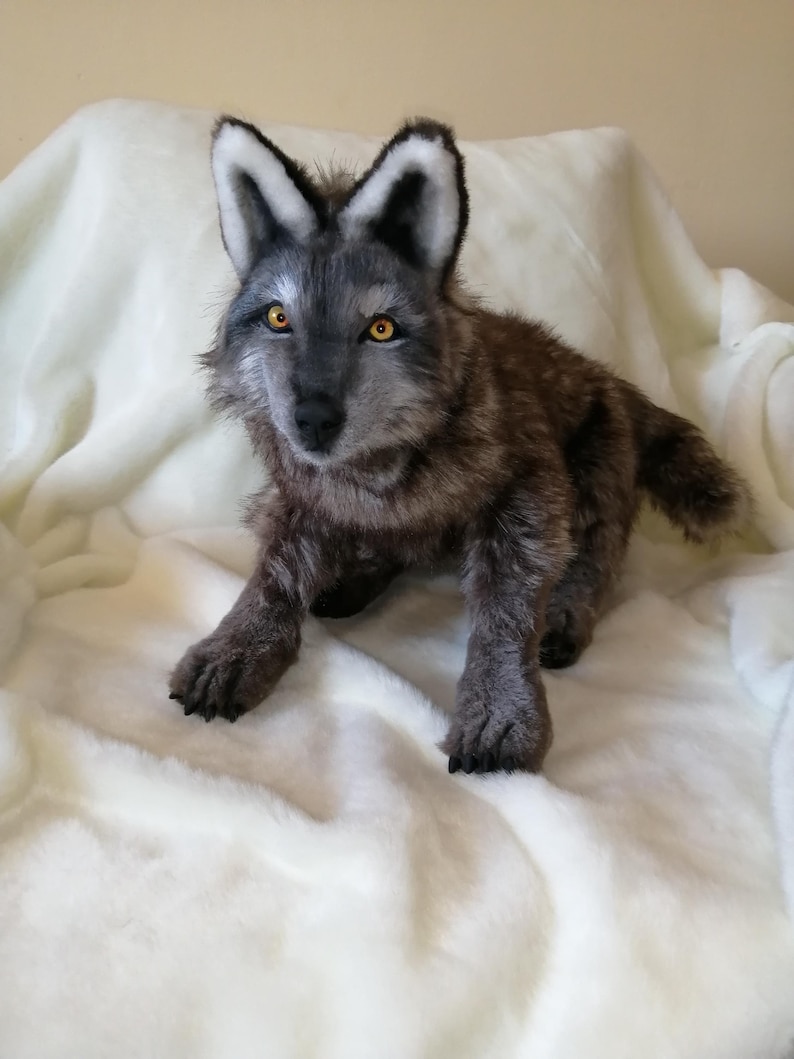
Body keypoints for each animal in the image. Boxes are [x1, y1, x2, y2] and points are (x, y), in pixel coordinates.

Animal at [169, 116, 751, 775]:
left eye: (380, 328)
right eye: (277, 318)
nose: (312, 419)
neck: (381, 475)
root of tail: (608, 375)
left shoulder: (529, 497)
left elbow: (505, 615)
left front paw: (499, 710)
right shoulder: (300, 501)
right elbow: (272, 578)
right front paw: (237, 647)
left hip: (595, 480)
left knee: (596, 564)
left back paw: (566, 616)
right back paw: (354, 579)